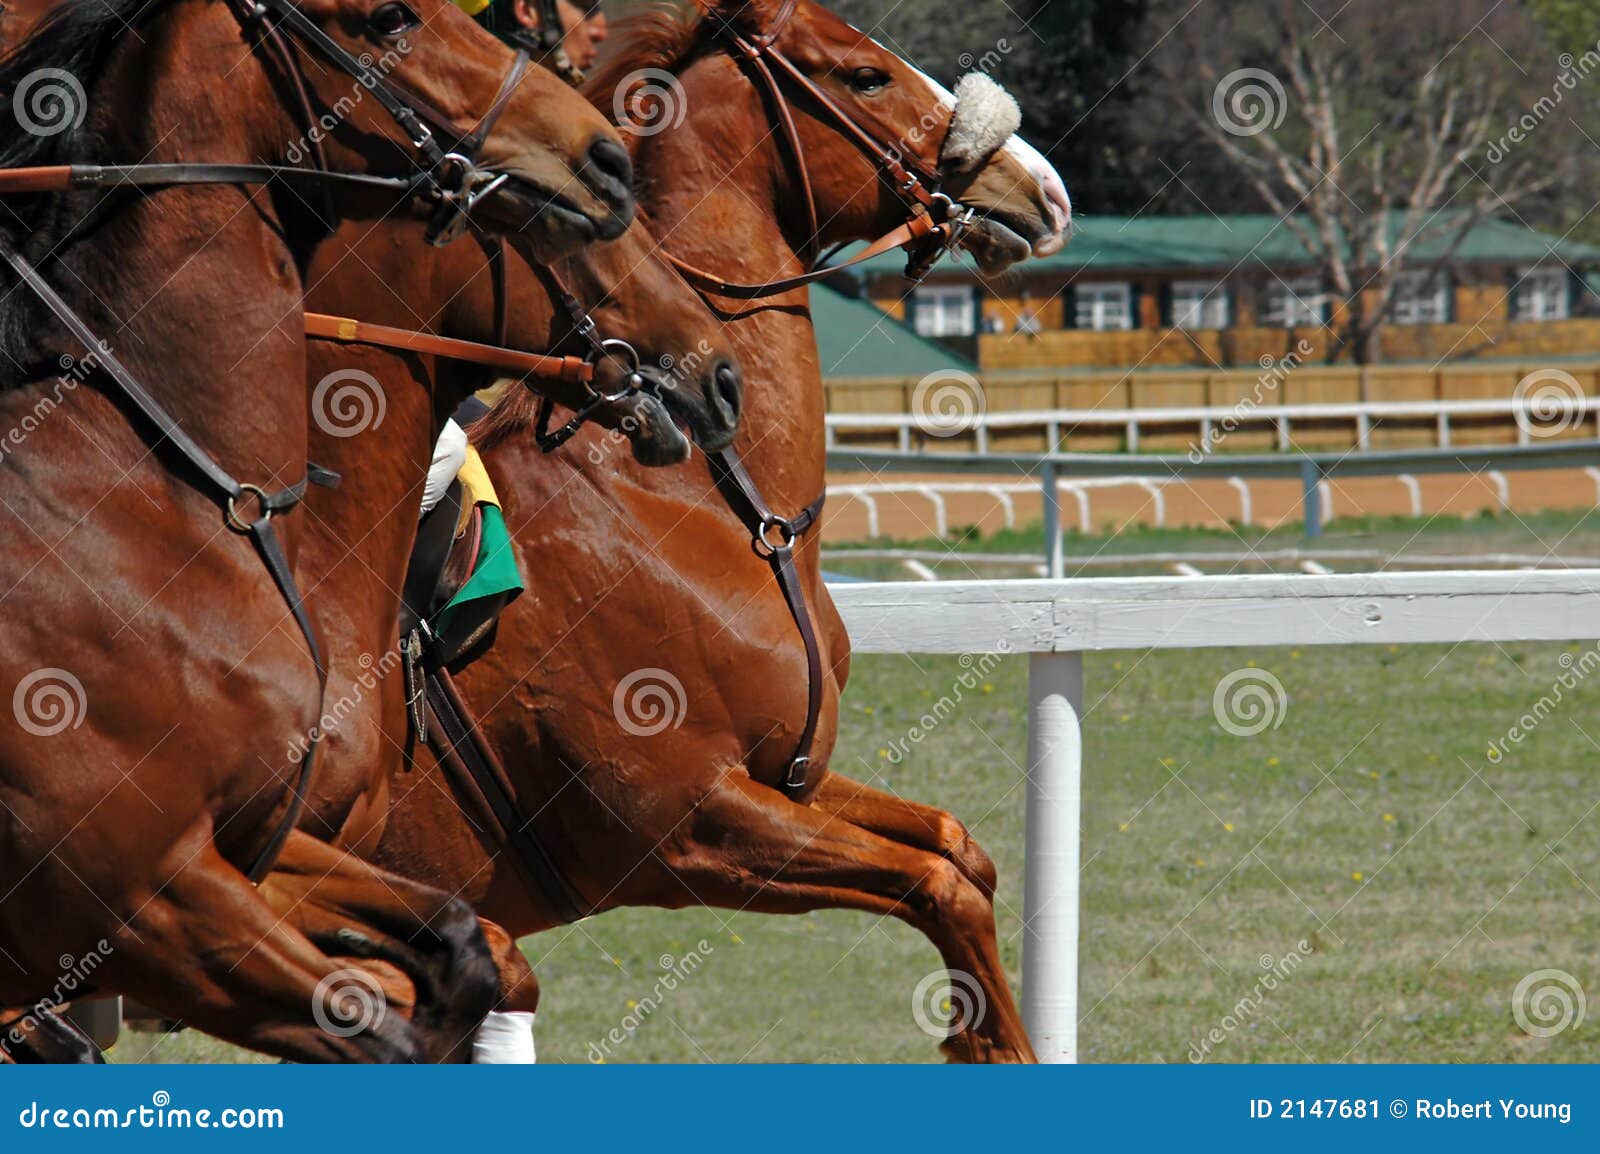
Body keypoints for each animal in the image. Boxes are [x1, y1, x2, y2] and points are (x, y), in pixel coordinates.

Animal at [0, 0, 634, 1062]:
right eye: (386, 17)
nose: (609, 160)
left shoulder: (255, 850)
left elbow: (459, 950)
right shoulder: (141, 900)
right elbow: (383, 1032)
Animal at [367, 0, 1071, 1062]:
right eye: (868, 75)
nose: (1045, 188)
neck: (700, 500)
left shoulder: (788, 780)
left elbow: (957, 847)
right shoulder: (694, 829)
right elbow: (939, 885)